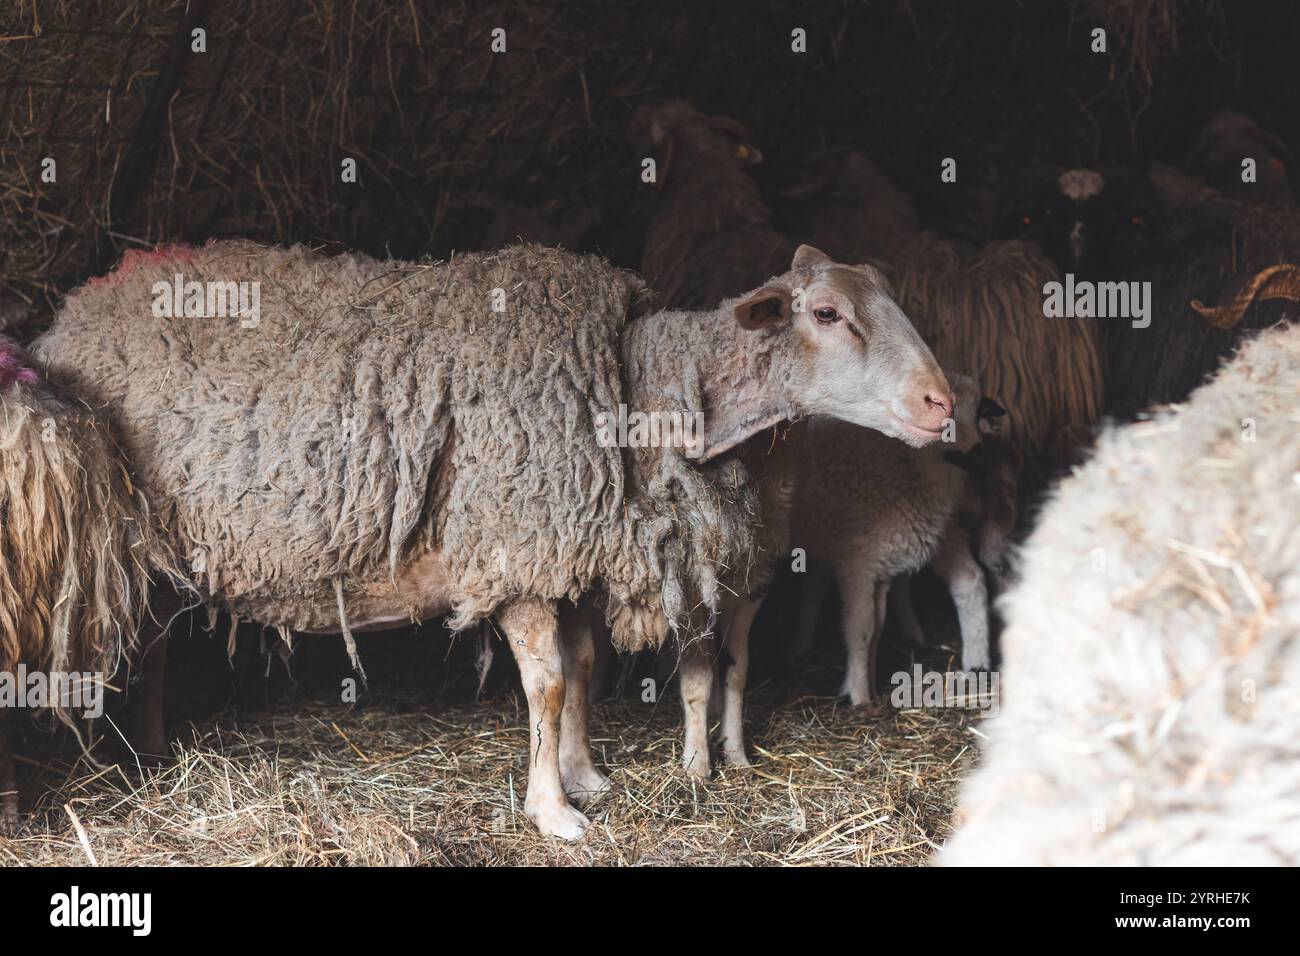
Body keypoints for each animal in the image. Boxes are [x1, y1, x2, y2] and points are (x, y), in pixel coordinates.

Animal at [34, 239, 953, 839]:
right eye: (827, 313)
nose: (941, 404)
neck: (634, 383)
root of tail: (73, 311)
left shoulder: (566, 550)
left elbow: (579, 671)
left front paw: (586, 777)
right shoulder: (518, 549)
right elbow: (544, 688)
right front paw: (554, 813)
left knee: (155, 642)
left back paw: (153, 747)